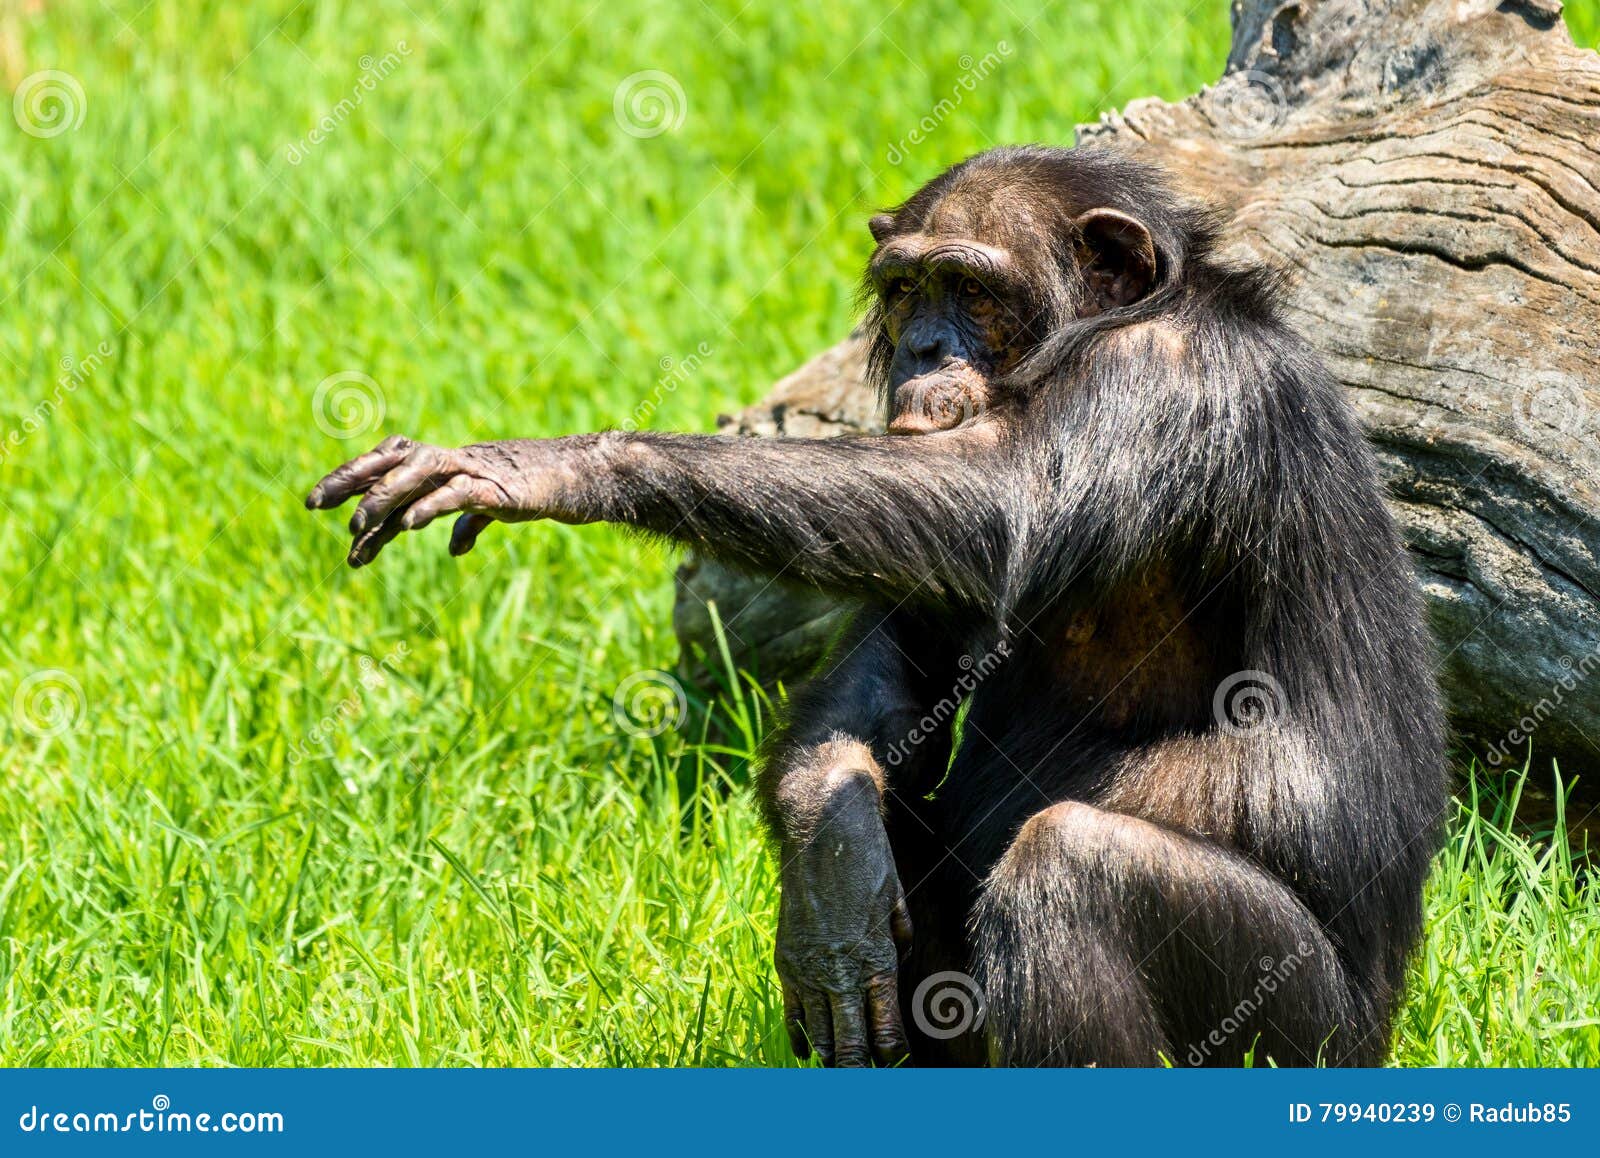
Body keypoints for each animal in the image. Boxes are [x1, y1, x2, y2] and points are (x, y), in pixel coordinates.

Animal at [305, 145, 1446, 1068]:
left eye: (970, 291)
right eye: (907, 289)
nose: (926, 350)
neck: (1105, 330)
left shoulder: (1161, 382)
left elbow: (997, 505)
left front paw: (555, 465)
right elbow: (894, 655)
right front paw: (833, 871)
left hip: (1305, 1035)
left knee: (1076, 873)